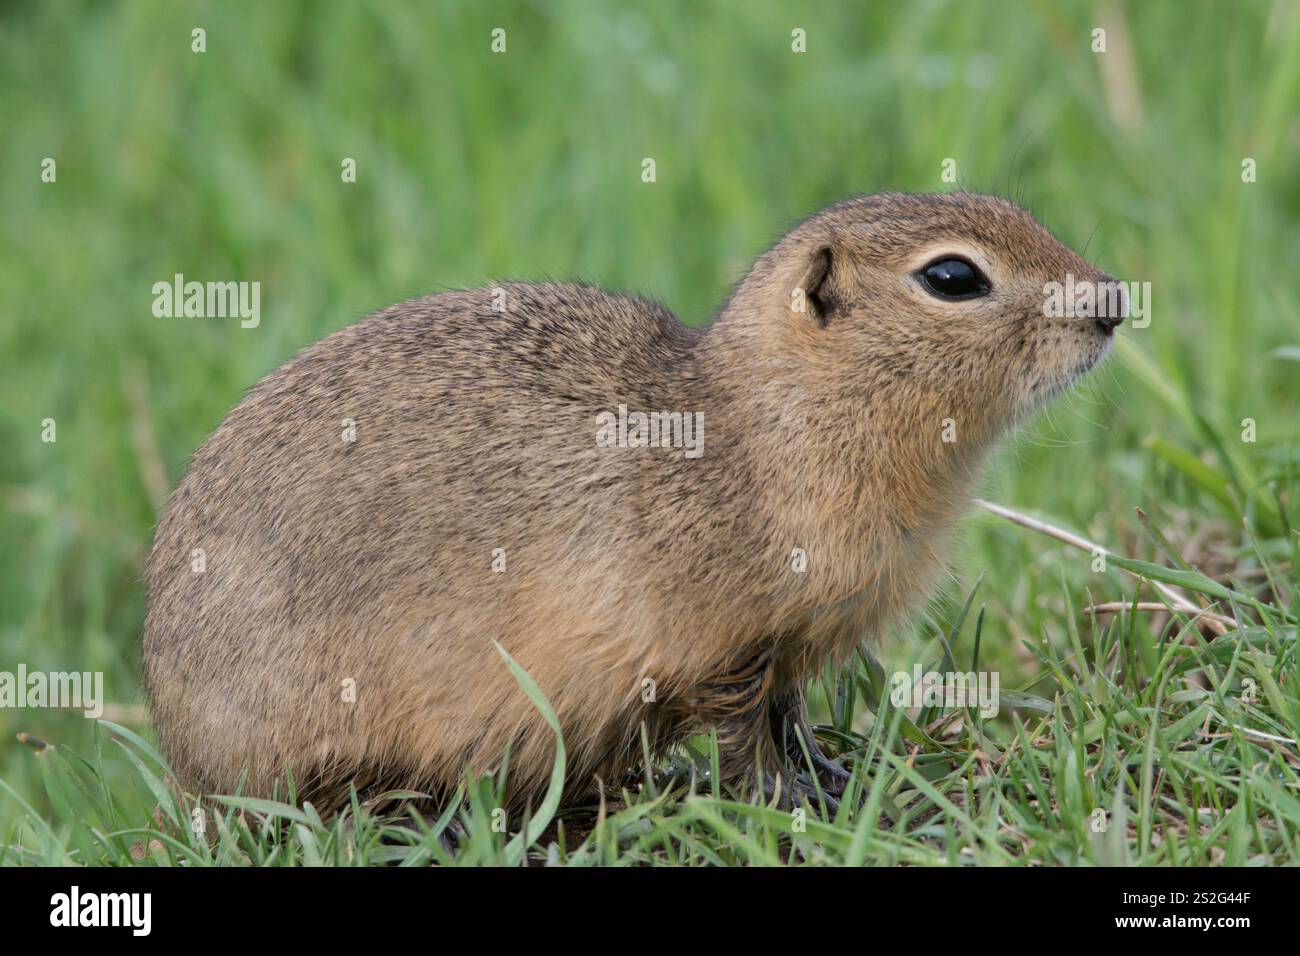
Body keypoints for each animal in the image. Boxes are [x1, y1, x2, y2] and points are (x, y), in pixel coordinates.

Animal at [142, 192, 1124, 810]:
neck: (767, 428)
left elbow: (789, 716)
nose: (1114, 300)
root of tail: (184, 760)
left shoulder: (789, 643)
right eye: (954, 278)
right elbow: (742, 739)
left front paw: (834, 775)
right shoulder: (713, 650)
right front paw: (789, 799)